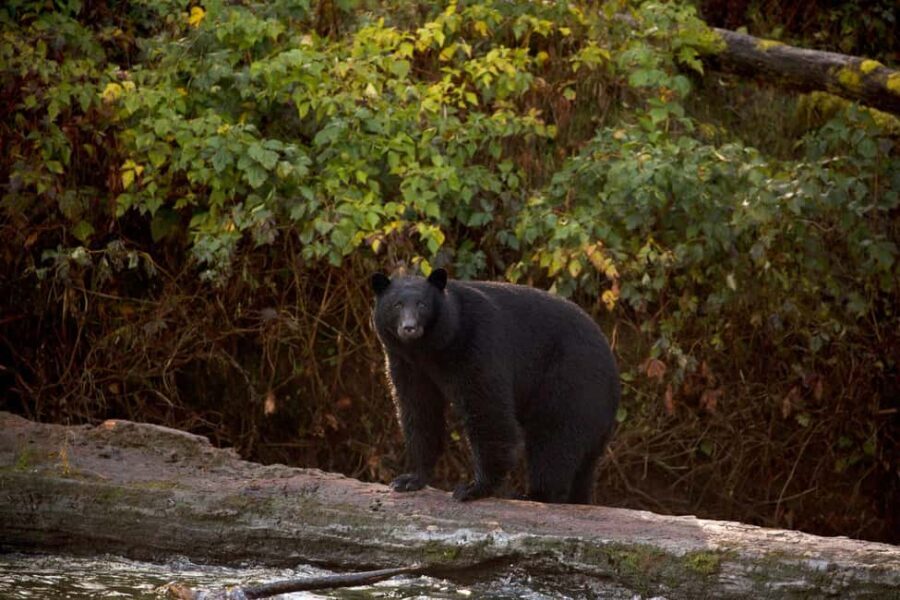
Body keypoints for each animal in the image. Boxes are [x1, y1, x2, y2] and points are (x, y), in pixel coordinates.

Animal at [371, 268, 620, 504]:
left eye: (422, 304)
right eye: (396, 305)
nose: (409, 328)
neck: (429, 348)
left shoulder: (475, 344)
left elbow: (486, 408)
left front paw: (474, 488)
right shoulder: (407, 363)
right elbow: (418, 409)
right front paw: (410, 478)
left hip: (572, 382)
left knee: (554, 437)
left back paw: (535, 494)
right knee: (582, 465)